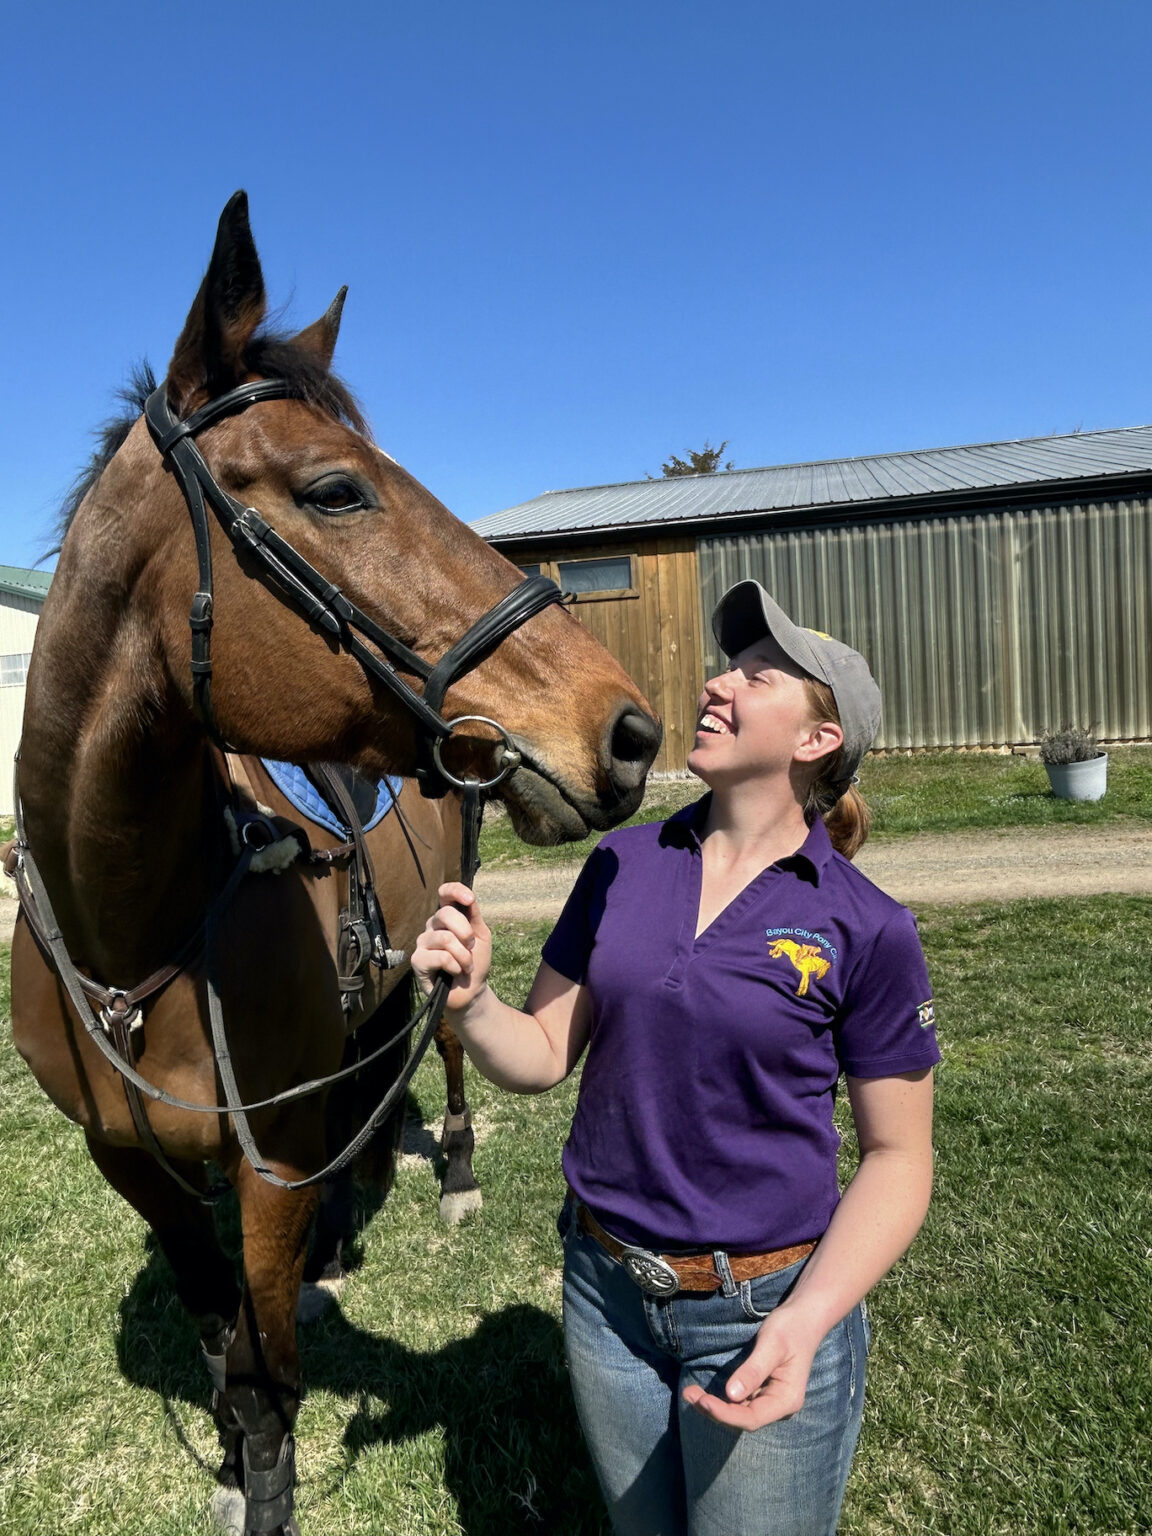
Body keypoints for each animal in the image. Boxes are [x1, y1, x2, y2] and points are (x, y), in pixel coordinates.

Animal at [8, 191, 660, 1536]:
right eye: (337, 490)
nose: (626, 729)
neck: (126, 931)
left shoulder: (261, 1168)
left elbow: (269, 1362)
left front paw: (267, 1479)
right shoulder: (135, 1167)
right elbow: (223, 1339)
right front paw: (235, 1452)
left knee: (446, 1042)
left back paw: (444, 1172)